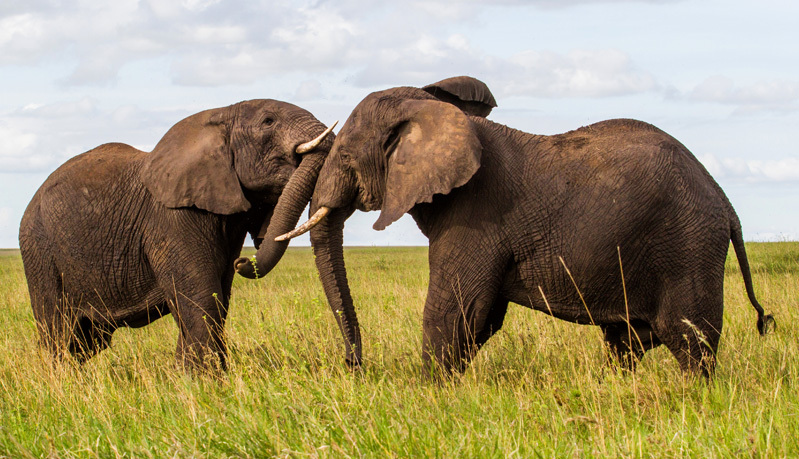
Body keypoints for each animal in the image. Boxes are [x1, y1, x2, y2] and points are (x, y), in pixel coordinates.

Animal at [19, 99, 336, 371]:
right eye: (268, 121)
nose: (243, 262)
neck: (220, 115)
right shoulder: (172, 219)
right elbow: (200, 297)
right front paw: (204, 383)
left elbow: (218, 299)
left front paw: (188, 377)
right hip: (38, 249)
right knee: (57, 331)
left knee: (86, 342)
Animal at [271, 77, 776, 377]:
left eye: (344, 156)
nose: (353, 365)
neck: (436, 112)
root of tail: (726, 203)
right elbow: (482, 317)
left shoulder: (476, 214)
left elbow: (454, 310)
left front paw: (428, 394)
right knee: (627, 341)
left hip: (688, 245)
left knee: (689, 339)